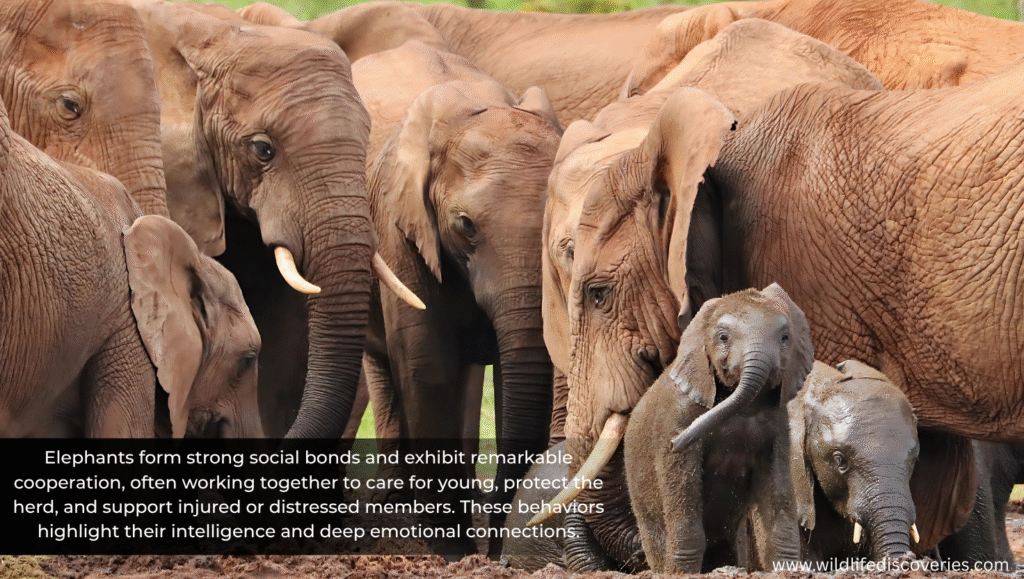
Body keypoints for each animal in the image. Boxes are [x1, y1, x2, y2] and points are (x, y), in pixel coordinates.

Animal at [345, 39, 561, 559]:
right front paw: (453, 553)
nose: (495, 551)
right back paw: (395, 506)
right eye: (465, 225)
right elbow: (428, 363)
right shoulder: (398, 224)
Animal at [623, 284, 812, 573]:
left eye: (785, 337)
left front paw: (786, 570)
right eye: (722, 337)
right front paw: (681, 573)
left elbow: (777, 492)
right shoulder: (677, 416)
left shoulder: (779, 427)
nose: (676, 443)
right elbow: (683, 493)